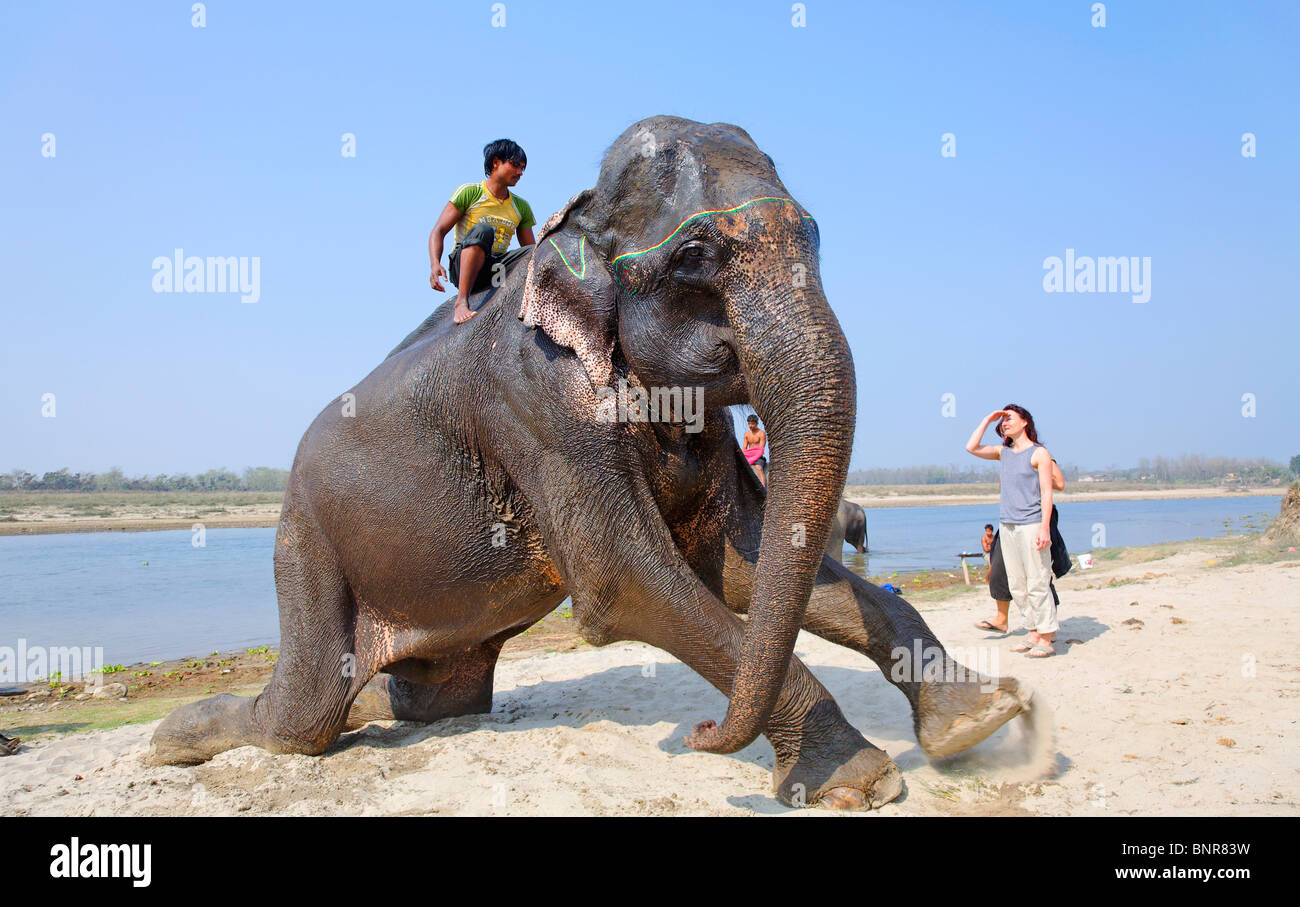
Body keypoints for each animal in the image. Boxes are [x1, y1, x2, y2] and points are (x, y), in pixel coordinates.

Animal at [148, 116, 1030, 809]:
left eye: (815, 234)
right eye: (695, 256)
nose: (704, 730)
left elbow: (742, 564)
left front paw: (979, 720)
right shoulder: (536, 401)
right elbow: (624, 582)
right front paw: (859, 777)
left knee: (431, 701)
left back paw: (370, 710)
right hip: (307, 539)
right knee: (300, 720)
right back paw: (177, 734)